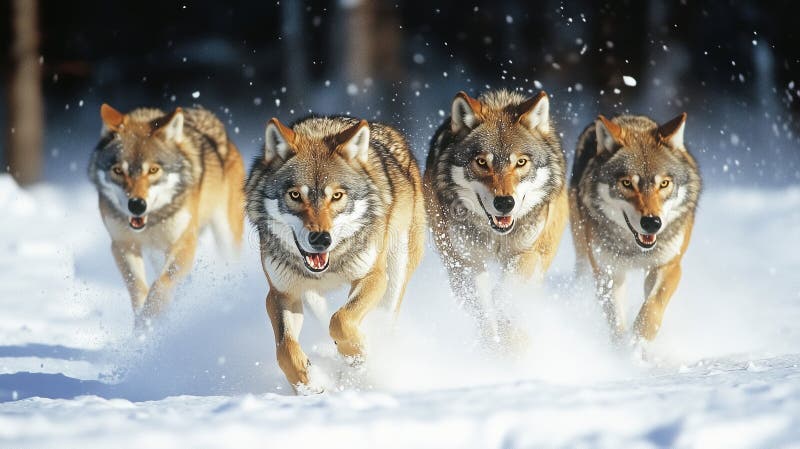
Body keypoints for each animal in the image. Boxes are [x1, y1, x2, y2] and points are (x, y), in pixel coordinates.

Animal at [89, 104, 245, 327]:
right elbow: (138, 287)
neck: (153, 221)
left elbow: (161, 284)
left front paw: (149, 321)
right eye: (118, 171)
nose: (136, 205)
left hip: (226, 239)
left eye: (153, 170)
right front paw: (142, 326)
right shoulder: (123, 245)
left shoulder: (184, 242)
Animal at [245, 116, 425, 390]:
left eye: (337, 196)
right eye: (295, 195)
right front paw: (308, 383)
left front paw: (358, 354)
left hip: (396, 272)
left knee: (383, 318)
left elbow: (340, 321)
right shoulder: (281, 294)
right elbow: (285, 348)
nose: (321, 239)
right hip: (310, 296)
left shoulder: (373, 277)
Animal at [423, 89, 568, 346]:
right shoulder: (465, 261)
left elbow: (504, 295)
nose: (504, 203)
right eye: (482, 162)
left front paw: (510, 337)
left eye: (521, 162)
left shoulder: (526, 253)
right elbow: (483, 309)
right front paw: (493, 344)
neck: (497, 236)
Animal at [569, 113, 701, 341]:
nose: (652, 223)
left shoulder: (668, 265)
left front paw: (638, 344)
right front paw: (621, 347)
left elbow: (652, 307)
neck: (635, 250)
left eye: (664, 184)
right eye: (627, 183)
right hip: (583, 251)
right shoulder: (608, 272)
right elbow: (616, 321)